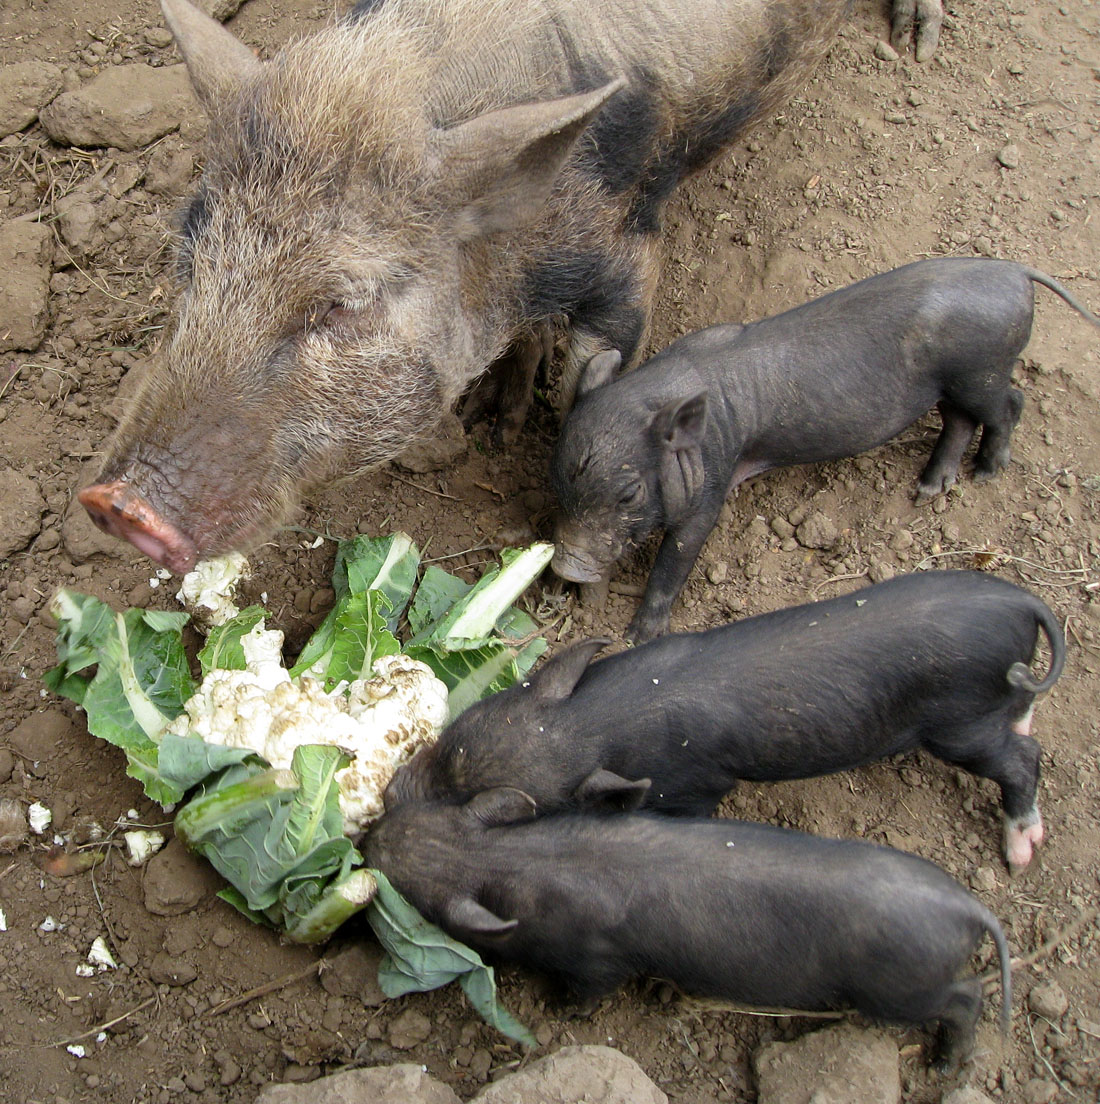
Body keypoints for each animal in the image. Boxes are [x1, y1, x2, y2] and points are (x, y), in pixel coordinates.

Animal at [78, 0, 945, 573]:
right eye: (191, 256)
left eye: (341, 305)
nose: (116, 503)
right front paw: (493, 423)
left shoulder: (629, 258)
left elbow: (593, 378)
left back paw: (917, 41)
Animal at [364, 788, 1012, 1068]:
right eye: (409, 820)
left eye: (409, 886)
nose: (367, 836)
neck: (504, 862)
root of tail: (968, 907)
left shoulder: (597, 959)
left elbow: (588, 995)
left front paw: (556, 1012)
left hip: (900, 988)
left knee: (967, 996)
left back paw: (943, 1066)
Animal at [387, 570, 1064, 871]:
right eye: (451, 739)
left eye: (492, 808)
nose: (392, 794)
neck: (598, 721)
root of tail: (1021, 598)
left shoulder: (698, 783)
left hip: (957, 721)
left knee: (1022, 762)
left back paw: (1021, 852)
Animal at [549, 258, 1100, 642]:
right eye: (557, 476)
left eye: (629, 493)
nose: (564, 566)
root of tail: (1013, 271)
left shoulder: (712, 482)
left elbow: (679, 554)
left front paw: (635, 636)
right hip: (954, 382)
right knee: (960, 420)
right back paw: (927, 490)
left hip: (982, 370)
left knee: (1011, 403)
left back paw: (987, 473)